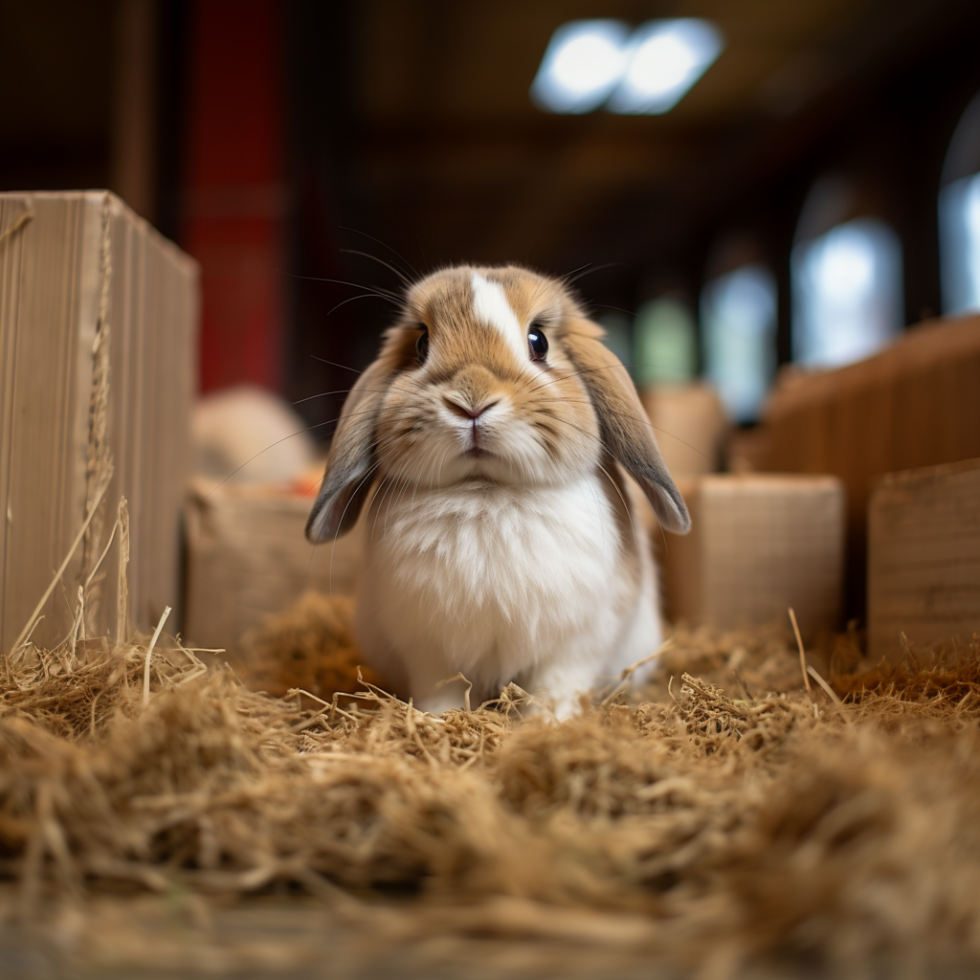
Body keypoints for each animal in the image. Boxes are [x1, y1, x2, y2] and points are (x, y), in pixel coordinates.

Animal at [306, 265, 690, 719]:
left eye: (538, 341)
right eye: (421, 344)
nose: (471, 400)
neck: (486, 491)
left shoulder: (577, 643)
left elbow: (557, 686)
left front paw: (550, 723)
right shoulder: (429, 648)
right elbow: (442, 688)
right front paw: (438, 720)